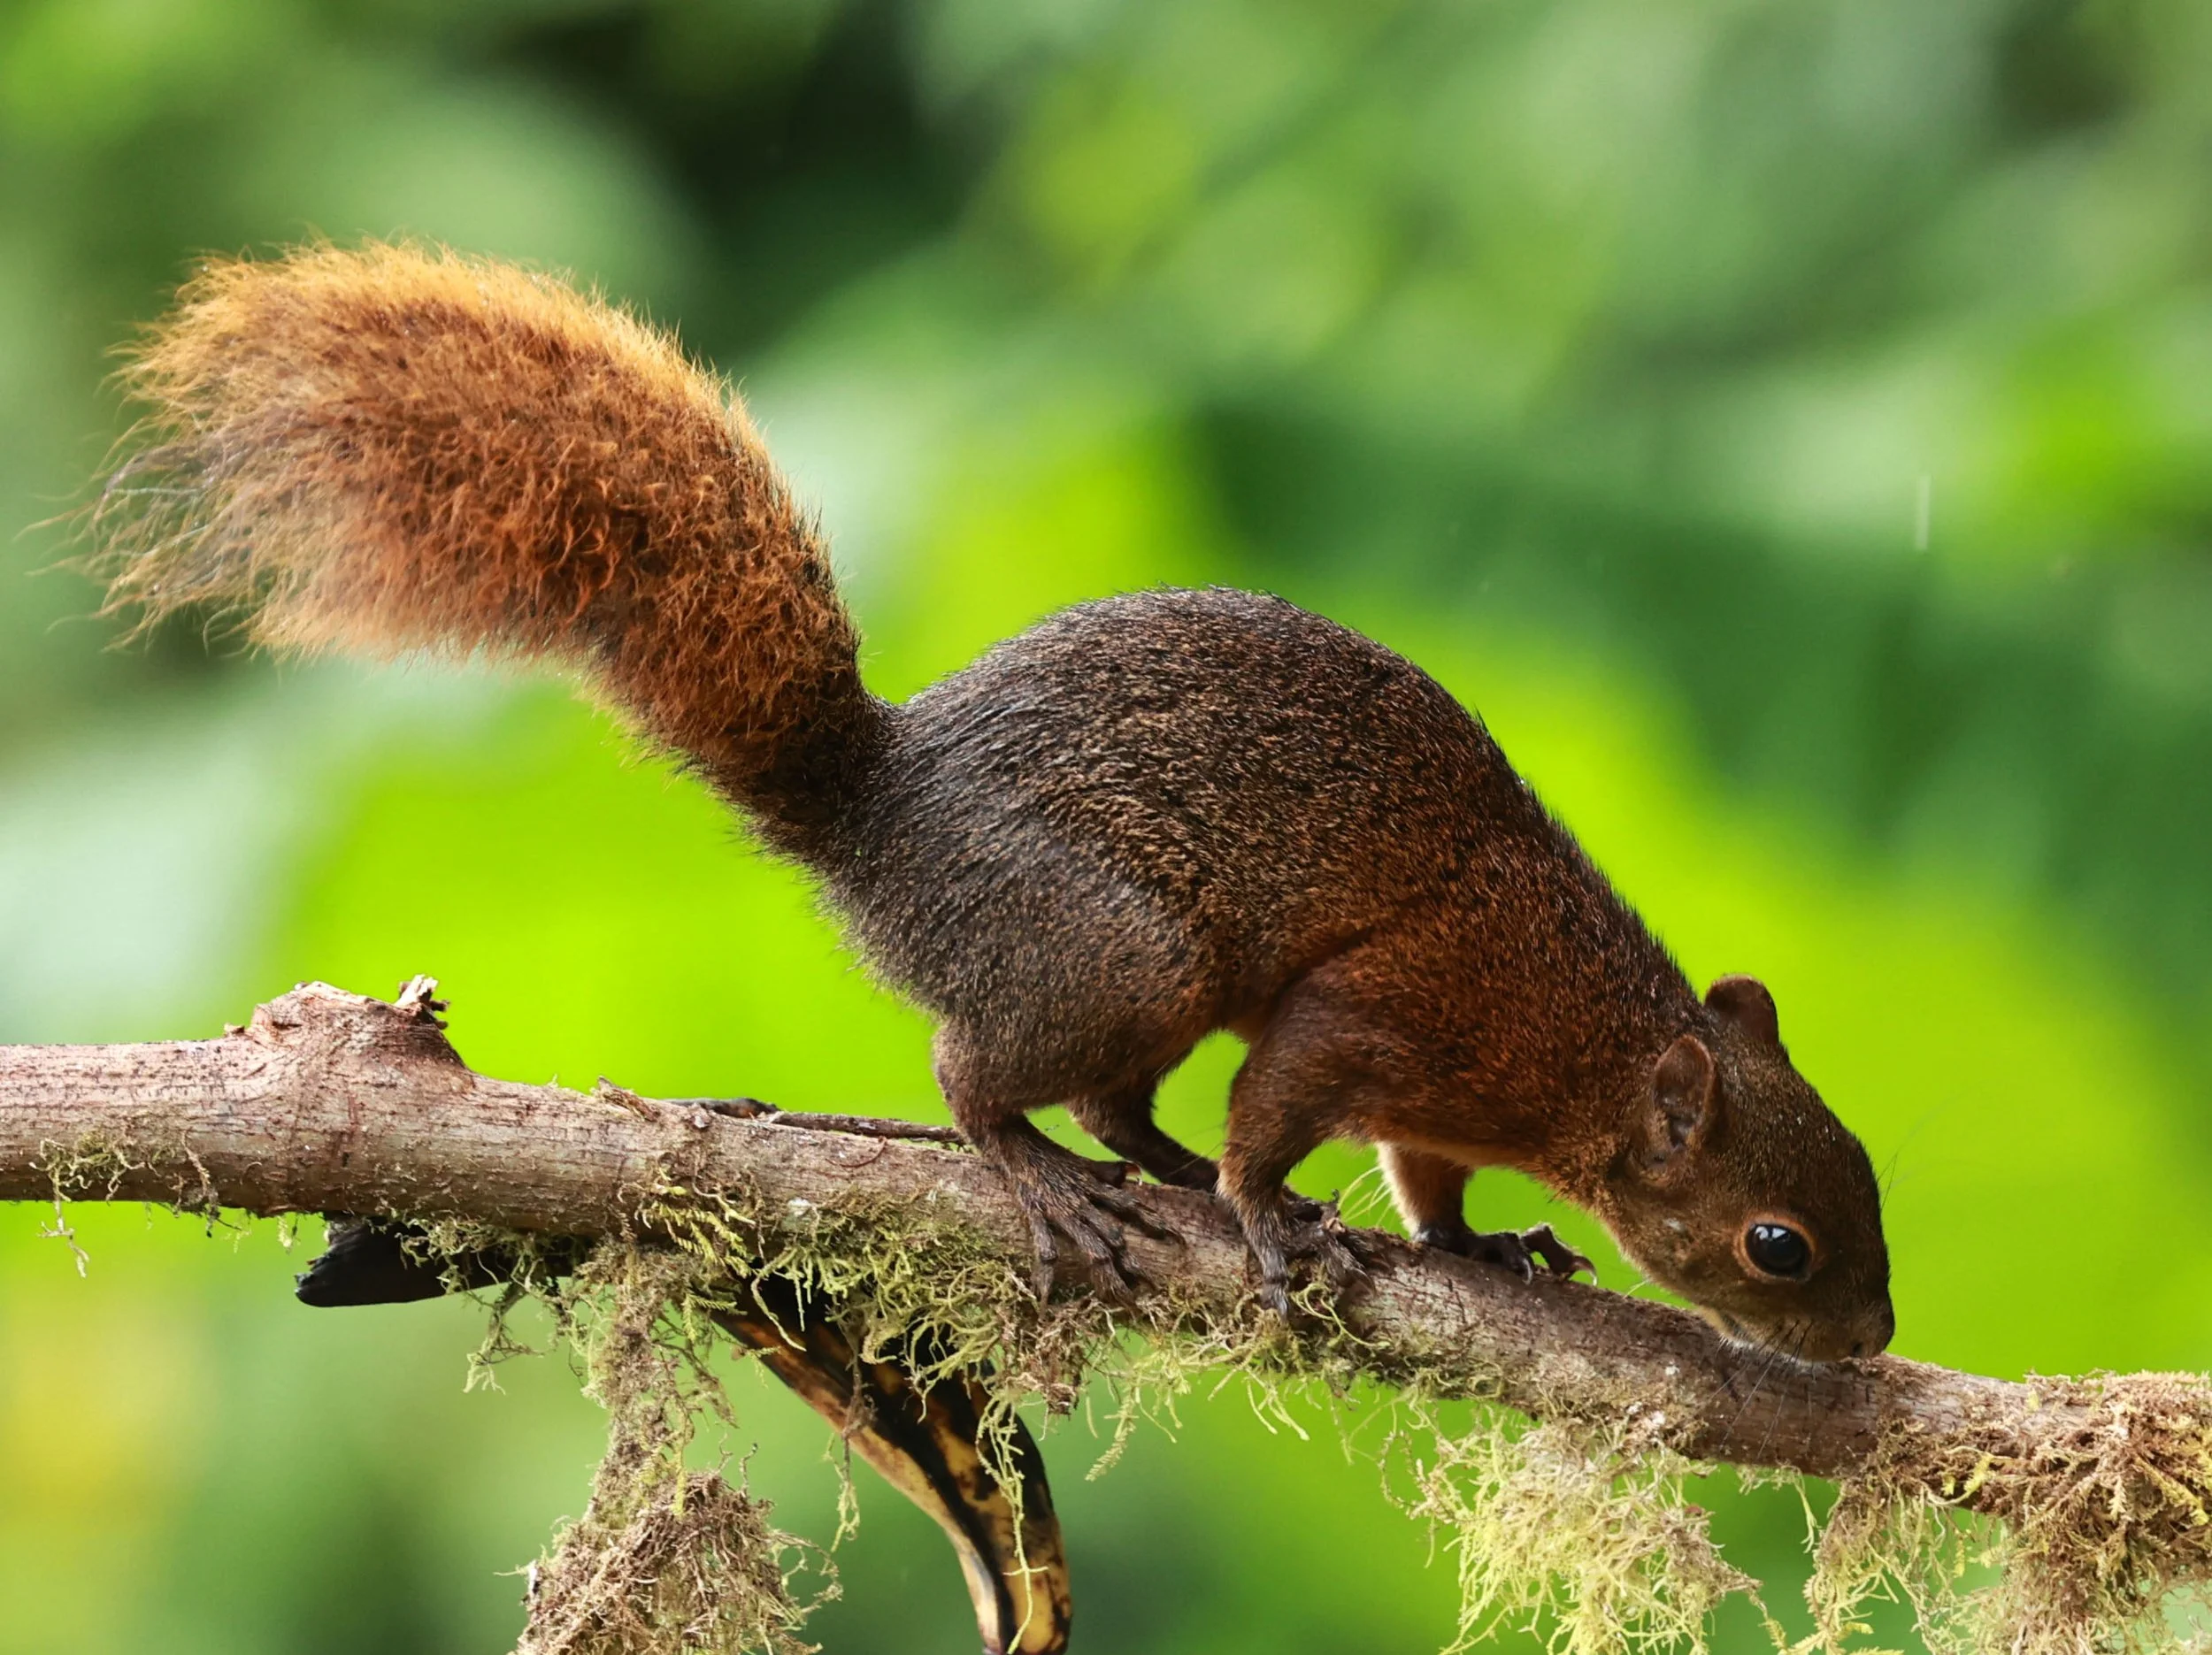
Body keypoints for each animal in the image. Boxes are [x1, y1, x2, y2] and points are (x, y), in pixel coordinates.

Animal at [94, 242, 1894, 1363]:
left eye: (1868, 1176)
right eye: (1779, 1245)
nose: (1874, 1340)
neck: (1586, 1037)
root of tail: (876, 815)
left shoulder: (1433, 1096)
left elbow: (1426, 1189)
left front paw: (1490, 1249)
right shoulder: (1391, 1006)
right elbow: (1288, 1112)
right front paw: (1275, 1222)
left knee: (1112, 1102)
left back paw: (1146, 1167)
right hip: (1116, 948)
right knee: (986, 1079)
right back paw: (1055, 1178)